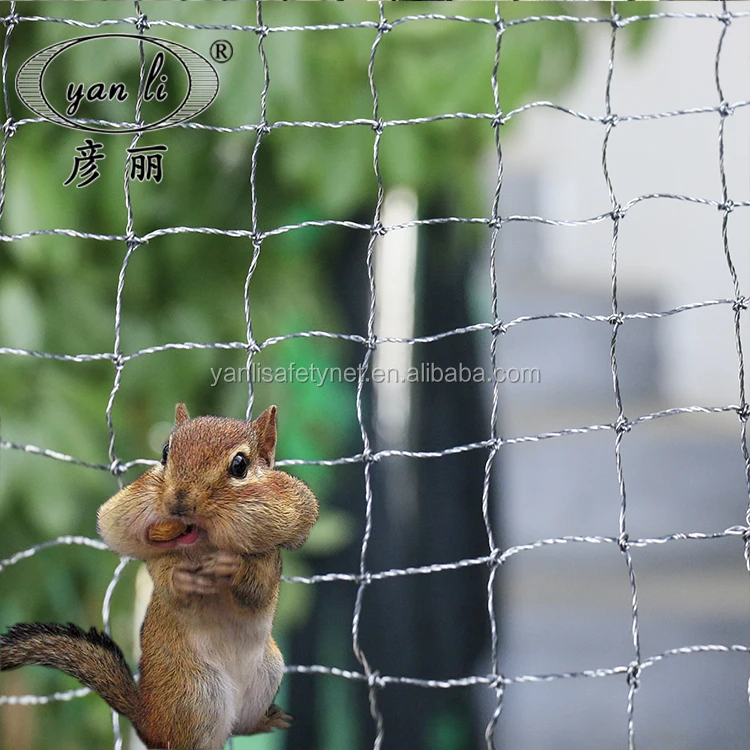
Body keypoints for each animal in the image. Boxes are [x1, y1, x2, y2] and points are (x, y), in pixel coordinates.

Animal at [0, 403, 318, 750]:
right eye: (166, 452)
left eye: (240, 465)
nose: (179, 502)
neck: (205, 544)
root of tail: (145, 719)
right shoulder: (157, 557)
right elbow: (164, 571)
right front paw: (182, 578)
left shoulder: (270, 560)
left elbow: (256, 589)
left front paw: (232, 566)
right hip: (195, 697)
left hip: (265, 675)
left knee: (241, 727)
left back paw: (267, 720)